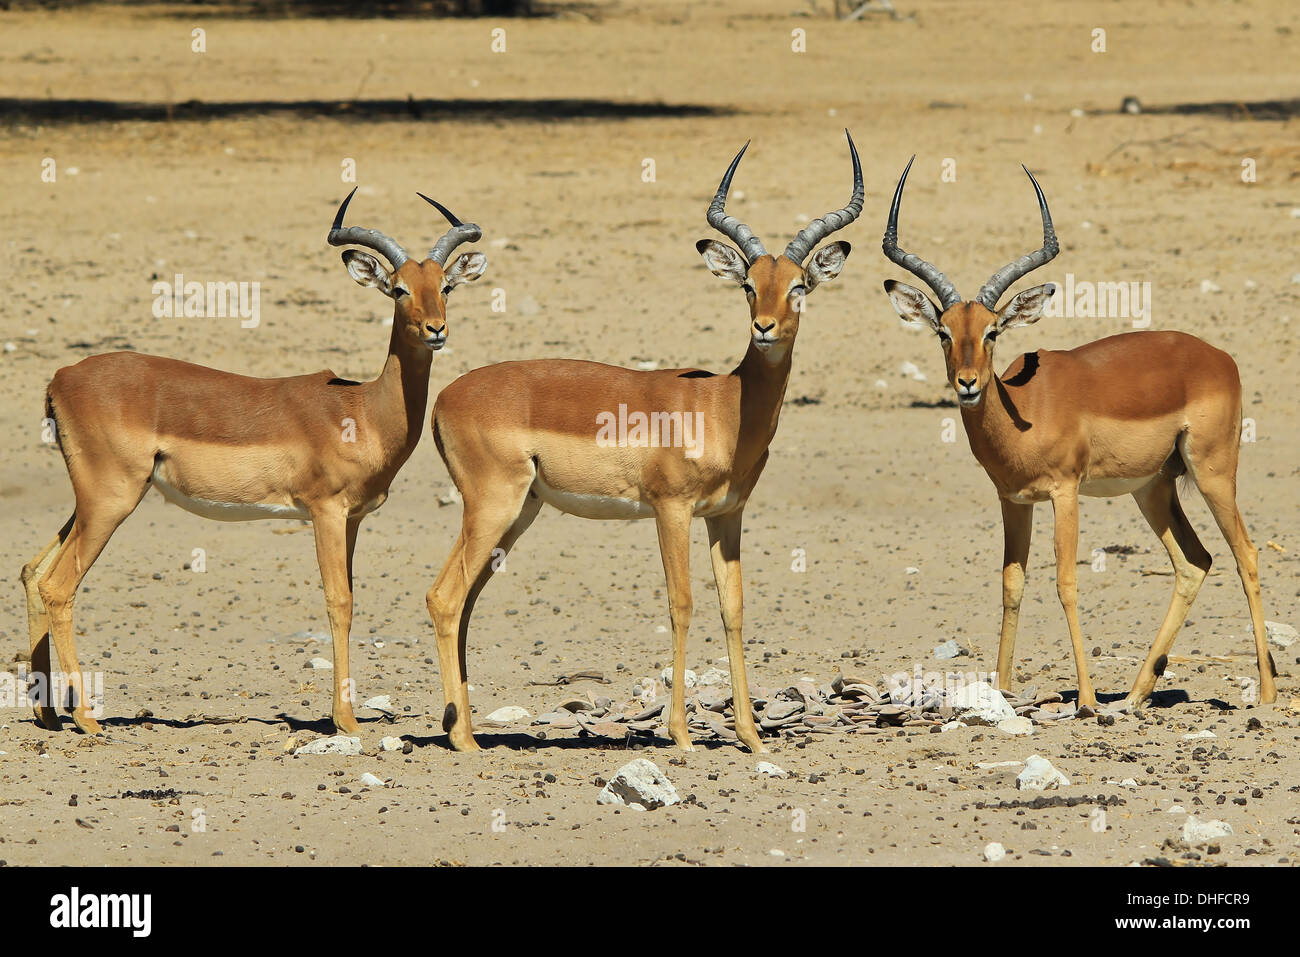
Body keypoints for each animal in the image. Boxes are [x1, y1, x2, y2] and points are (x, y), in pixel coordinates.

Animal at [20, 189, 487, 735]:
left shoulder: (351, 519)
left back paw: (48, 713)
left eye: (445, 286)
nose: (436, 329)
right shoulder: (325, 512)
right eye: (397, 289)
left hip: (93, 501)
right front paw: (346, 721)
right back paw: (87, 718)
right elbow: (339, 603)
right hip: (111, 500)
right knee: (57, 586)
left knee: (32, 570)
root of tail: (61, 377)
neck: (362, 410)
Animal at [425, 133, 862, 754]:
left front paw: (751, 736)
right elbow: (682, 604)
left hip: (520, 513)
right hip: (493, 505)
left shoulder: (726, 515)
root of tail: (443, 398)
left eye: (798, 286)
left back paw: (462, 727)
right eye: (749, 286)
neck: (724, 405)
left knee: (464, 601)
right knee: (445, 597)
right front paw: (679, 732)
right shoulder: (671, 509)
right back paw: (464, 740)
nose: (765, 327)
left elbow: (733, 609)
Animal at [880, 156, 1277, 711]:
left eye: (992, 332)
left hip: (1213, 473)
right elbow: (1012, 583)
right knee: (1195, 562)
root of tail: (1220, 358)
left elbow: (1066, 581)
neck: (1024, 412)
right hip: (1153, 489)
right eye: (943, 332)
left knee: (1247, 554)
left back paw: (1266, 693)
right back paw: (1135, 694)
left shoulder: (1065, 492)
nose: (968, 382)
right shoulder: (1014, 500)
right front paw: (1001, 689)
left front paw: (1087, 697)